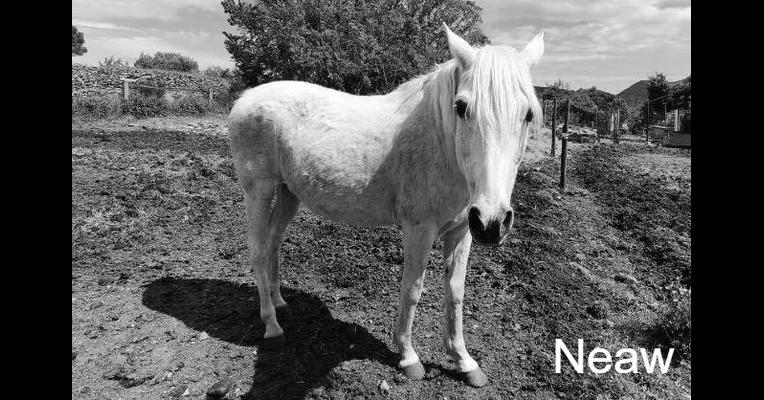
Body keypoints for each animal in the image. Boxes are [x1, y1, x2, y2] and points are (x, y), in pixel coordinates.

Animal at [227, 24, 544, 388]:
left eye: (528, 113)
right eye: (462, 107)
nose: (492, 223)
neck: (442, 144)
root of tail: (244, 99)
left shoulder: (463, 231)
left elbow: (455, 293)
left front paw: (464, 361)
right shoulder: (419, 229)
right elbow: (412, 289)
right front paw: (408, 356)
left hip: (288, 193)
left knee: (274, 242)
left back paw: (280, 302)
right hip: (259, 192)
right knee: (258, 250)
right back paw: (271, 325)